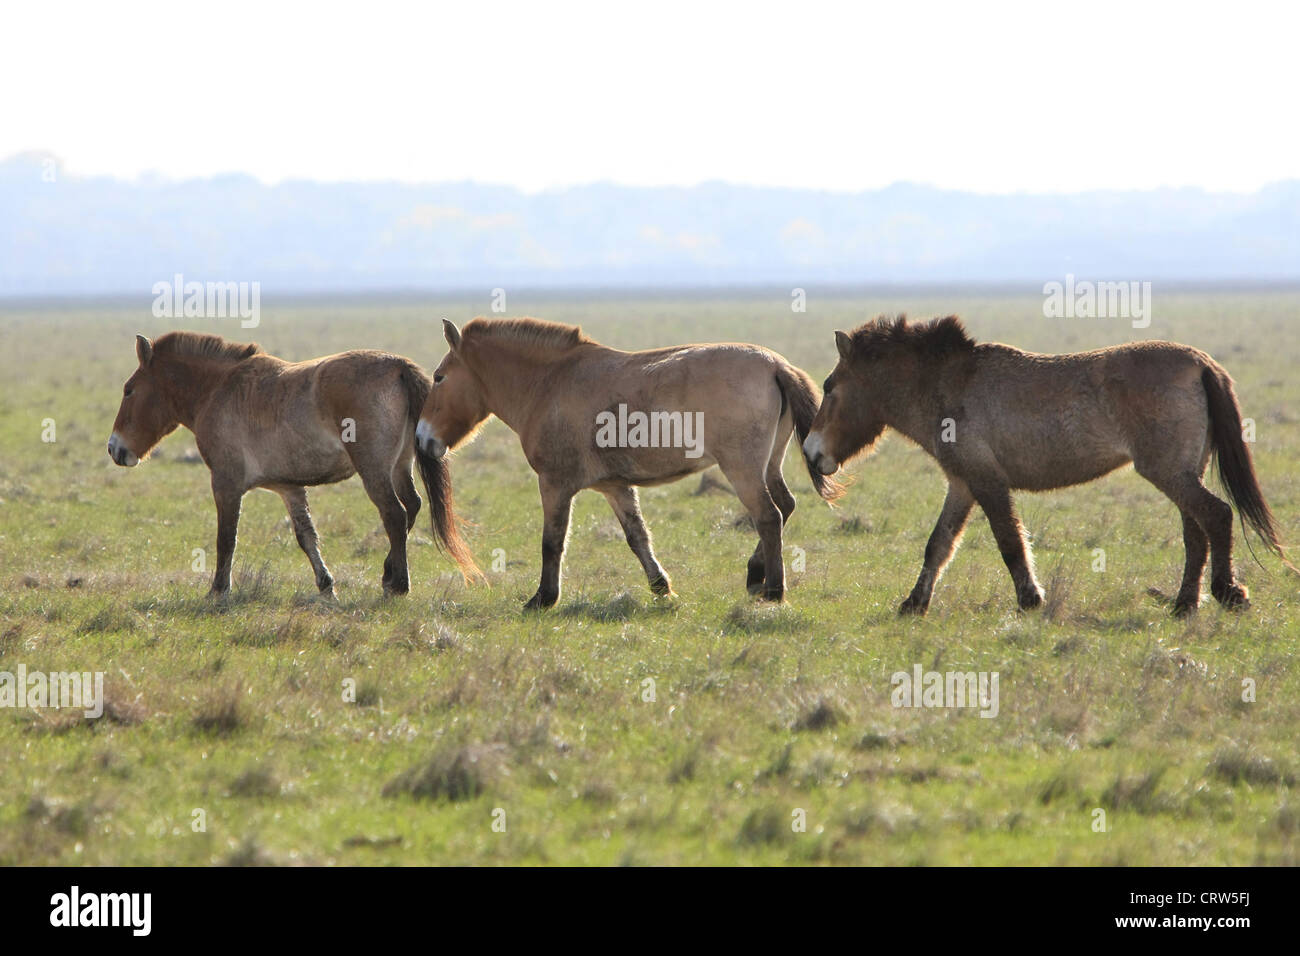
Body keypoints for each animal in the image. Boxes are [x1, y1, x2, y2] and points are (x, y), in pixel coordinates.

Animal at [108, 331, 478, 597]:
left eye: (128, 390)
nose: (114, 448)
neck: (217, 389)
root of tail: (397, 366)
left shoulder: (226, 484)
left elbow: (226, 539)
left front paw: (218, 590)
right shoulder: (289, 488)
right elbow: (306, 537)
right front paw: (326, 585)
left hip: (374, 471)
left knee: (395, 515)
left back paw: (397, 584)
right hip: (399, 467)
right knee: (412, 507)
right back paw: (389, 572)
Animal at [414, 317, 843, 610]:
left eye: (439, 377)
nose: (421, 438)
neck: (550, 382)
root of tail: (775, 364)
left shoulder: (554, 484)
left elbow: (552, 542)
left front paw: (543, 597)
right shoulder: (615, 486)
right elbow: (637, 537)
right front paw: (661, 587)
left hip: (743, 469)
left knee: (769, 516)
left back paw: (773, 590)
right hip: (768, 464)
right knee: (785, 506)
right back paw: (756, 575)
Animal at [802, 315, 1292, 617]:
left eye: (828, 385)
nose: (809, 451)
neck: (946, 384)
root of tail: (1200, 362)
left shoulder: (987, 482)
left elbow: (1009, 543)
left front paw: (1030, 599)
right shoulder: (962, 484)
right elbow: (937, 546)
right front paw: (914, 604)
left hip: (1169, 473)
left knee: (1217, 516)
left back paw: (1227, 592)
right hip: (1183, 472)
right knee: (1197, 532)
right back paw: (1184, 605)